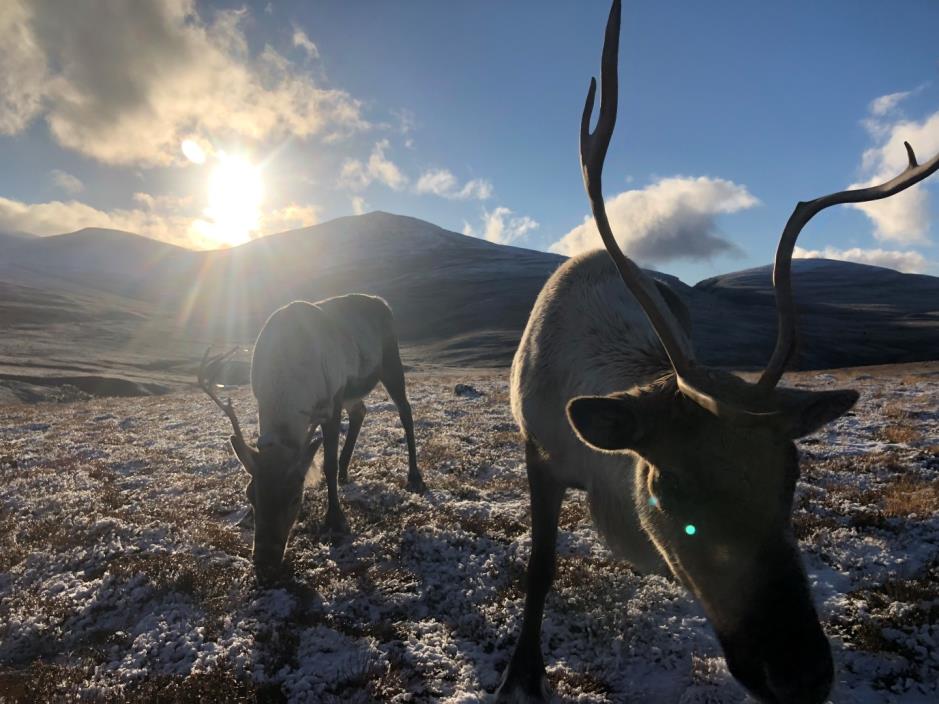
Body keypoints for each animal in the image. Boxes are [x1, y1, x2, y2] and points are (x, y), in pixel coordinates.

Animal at [198, 293, 426, 579]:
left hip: (390, 363)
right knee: (360, 412)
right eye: (250, 494)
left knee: (405, 411)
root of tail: (381, 303)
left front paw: (336, 519)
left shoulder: (332, 401)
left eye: (296, 497)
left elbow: (327, 463)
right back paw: (346, 471)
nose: (265, 562)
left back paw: (414, 476)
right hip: (354, 392)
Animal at [496, 2, 939, 702]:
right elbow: (539, 568)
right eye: (669, 488)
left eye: (791, 474)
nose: (803, 675)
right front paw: (521, 675)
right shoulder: (538, 451)